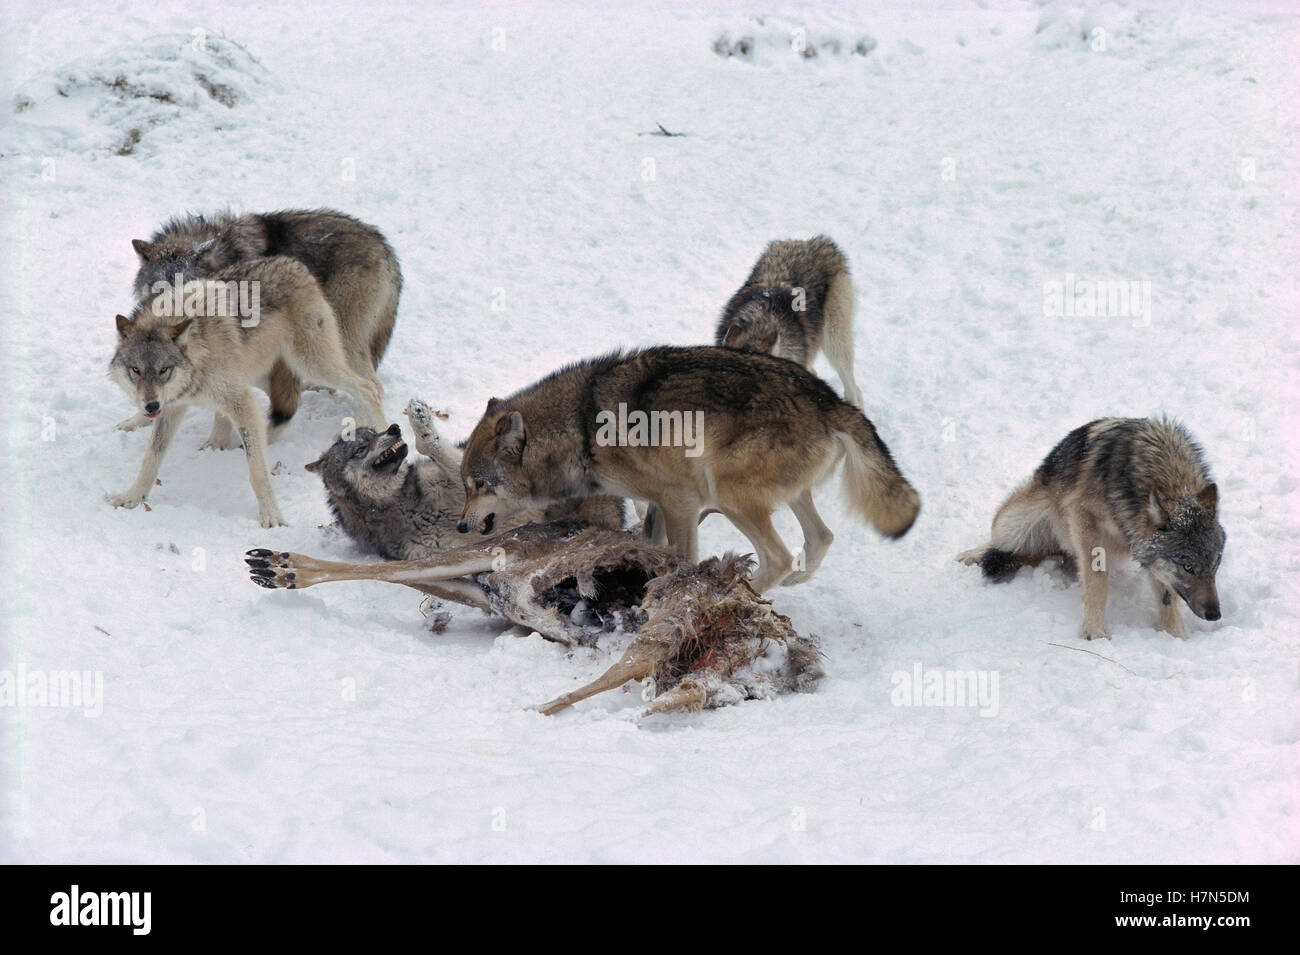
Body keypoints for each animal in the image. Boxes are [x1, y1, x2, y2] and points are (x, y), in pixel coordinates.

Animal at [108, 256, 387, 527]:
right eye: (136, 370)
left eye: (164, 370)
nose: (150, 406)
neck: (200, 349)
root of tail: (296, 264)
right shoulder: (173, 407)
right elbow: (150, 459)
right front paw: (132, 498)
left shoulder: (241, 402)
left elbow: (257, 472)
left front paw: (271, 516)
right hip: (263, 374)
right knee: (295, 400)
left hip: (311, 364)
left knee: (369, 388)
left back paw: (379, 429)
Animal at [125, 208, 401, 447]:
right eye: (159, 290)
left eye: (189, 290)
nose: (172, 321)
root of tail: (385, 247)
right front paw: (134, 421)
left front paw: (216, 444)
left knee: (373, 386)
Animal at [304, 399, 625, 560]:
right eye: (360, 449)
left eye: (375, 433)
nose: (394, 428)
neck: (407, 503)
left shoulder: (465, 480)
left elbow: (439, 451)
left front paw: (422, 422)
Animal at [456, 345, 919, 593]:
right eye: (465, 486)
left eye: (479, 484)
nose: (460, 526)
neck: (580, 428)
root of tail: (829, 400)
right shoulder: (660, 503)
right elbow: (651, 545)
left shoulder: (681, 500)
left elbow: (683, 558)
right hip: (780, 497)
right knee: (821, 538)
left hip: (728, 496)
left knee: (781, 556)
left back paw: (738, 592)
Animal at [956, 417, 1225, 640]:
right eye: (1188, 567)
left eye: (1215, 565)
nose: (1215, 614)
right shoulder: (1085, 521)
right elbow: (1097, 581)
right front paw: (1095, 632)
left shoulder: (1151, 557)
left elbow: (1167, 596)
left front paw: (1177, 637)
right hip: (1012, 523)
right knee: (999, 542)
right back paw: (969, 555)